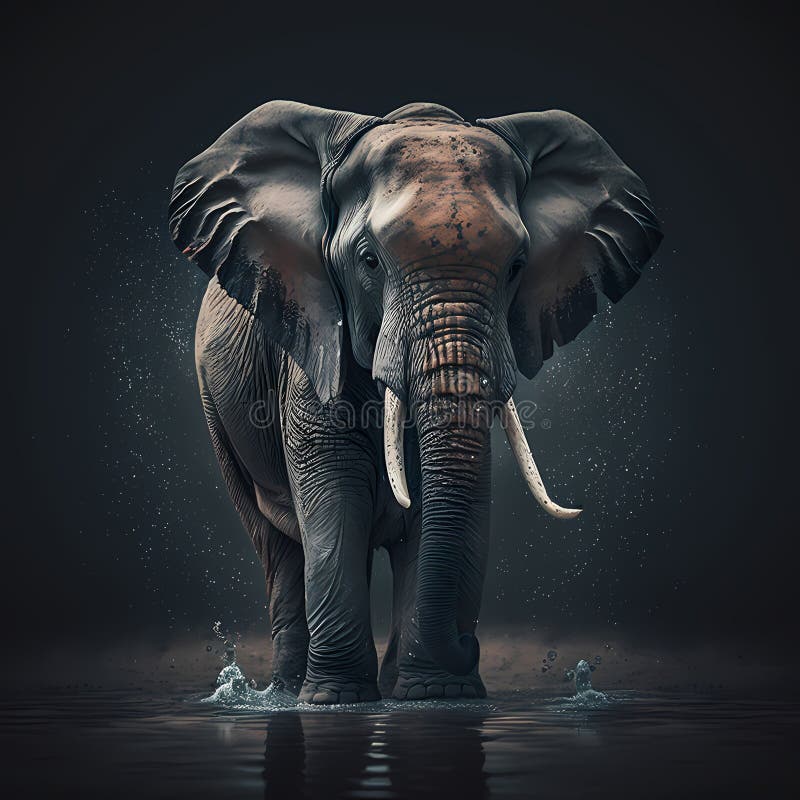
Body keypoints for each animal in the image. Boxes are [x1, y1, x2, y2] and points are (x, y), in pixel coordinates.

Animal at [168, 101, 662, 704]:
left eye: (518, 266)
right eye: (368, 262)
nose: (472, 641)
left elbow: (445, 507)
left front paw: (438, 694)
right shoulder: (313, 339)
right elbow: (333, 496)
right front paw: (336, 700)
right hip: (215, 406)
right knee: (276, 543)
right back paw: (285, 693)